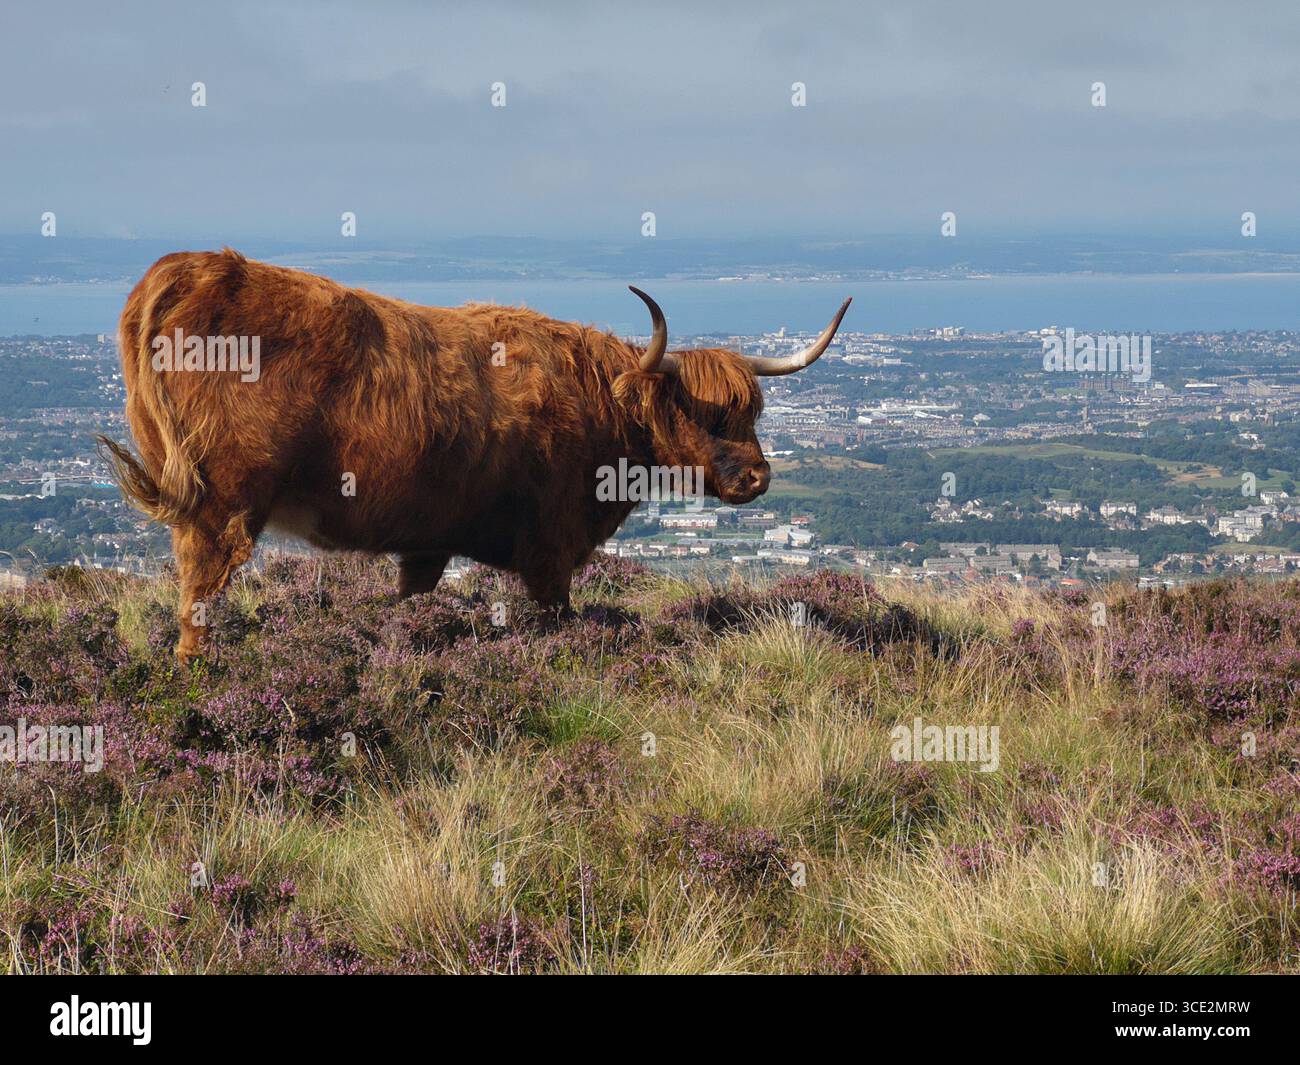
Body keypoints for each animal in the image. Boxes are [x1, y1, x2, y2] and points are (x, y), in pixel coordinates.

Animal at [98, 249, 850, 660]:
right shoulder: (551, 545)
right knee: (199, 590)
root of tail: (192, 268)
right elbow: (556, 617)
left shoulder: (428, 542)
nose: (757, 475)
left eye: (751, 411)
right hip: (222, 503)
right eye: (707, 413)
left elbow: (411, 603)